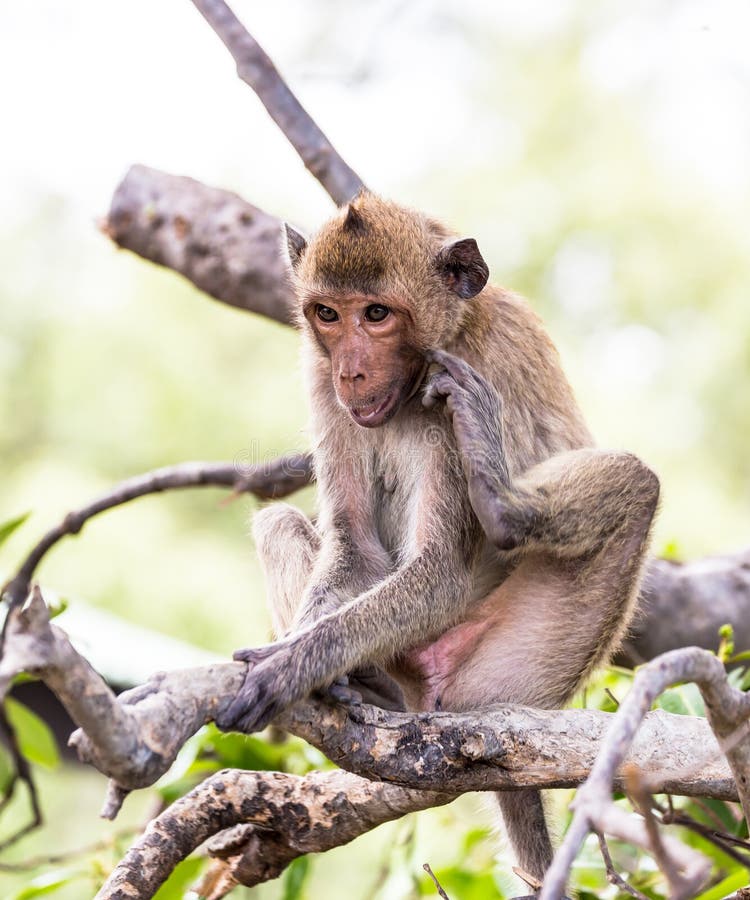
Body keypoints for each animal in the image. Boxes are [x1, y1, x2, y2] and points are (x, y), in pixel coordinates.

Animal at [216, 191, 660, 889]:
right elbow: (354, 546)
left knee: (636, 484)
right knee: (277, 523)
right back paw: (363, 687)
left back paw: (504, 507)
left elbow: (440, 573)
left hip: (509, 673)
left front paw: (289, 667)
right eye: (327, 313)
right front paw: (305, 658)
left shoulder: (456, 379)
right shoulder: (319, 378)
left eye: (377, 314)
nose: (352, 371)